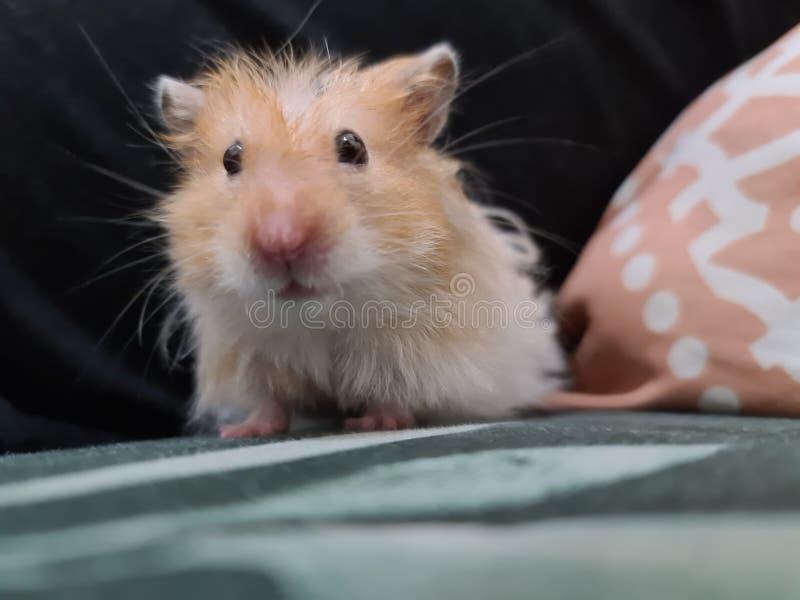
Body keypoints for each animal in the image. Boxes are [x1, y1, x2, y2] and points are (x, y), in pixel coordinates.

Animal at [153, 43, 565, 437]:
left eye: (352, 146)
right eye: (230, 158)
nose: (281, 241)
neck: (318, 320)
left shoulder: (419, 351)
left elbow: (396, 393)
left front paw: (375, 424)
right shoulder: (246, 355)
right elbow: (269, 401)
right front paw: (241, 432)